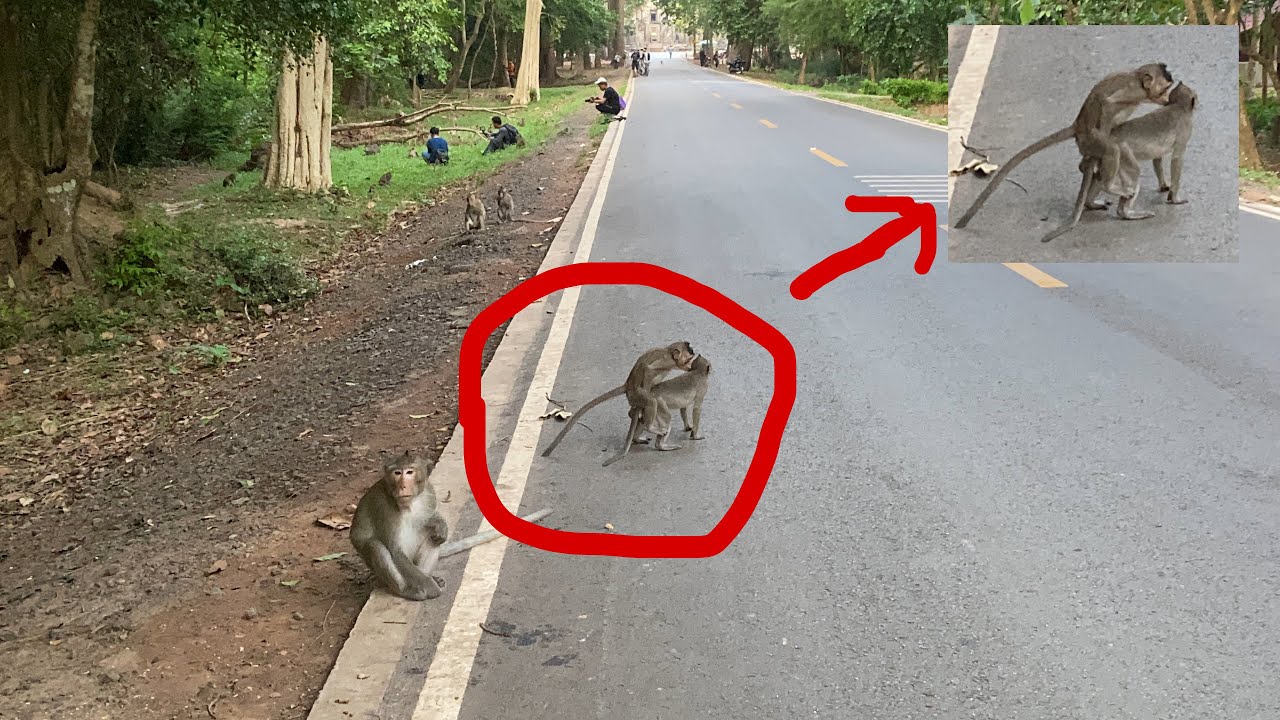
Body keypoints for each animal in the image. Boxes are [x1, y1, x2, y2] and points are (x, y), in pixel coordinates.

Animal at [350, 450, 554, 601]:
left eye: (409, 472)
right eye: (396, 473)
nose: (402, 486)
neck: (411, 502)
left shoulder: (429, 493)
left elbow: (431, 520)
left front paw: (441, 524)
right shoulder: (384, 507)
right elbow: (395, 551)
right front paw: (432, 588)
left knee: (433, 538)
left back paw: (430, 572)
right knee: (376, 547)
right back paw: (409, 590)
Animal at [540, 341, 697, 458]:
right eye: (688, 358)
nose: (690, 366)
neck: (669, 353)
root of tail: (627, 385)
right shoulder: (664, 360)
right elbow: (648, 369)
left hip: (633, 397)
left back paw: (635, 423)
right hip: (636, 394)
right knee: (650, 400)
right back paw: (647, 424)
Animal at [951, 63, 1175, 230]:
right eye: (1164, 89)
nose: (1167, 100)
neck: (1138, 80)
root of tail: (1077, 126)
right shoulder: (1131, 91)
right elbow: (1107, 103)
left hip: (1085, 143)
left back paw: (1087, 177)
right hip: (1090, 138)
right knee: (1110, 148)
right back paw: (1105, 180)